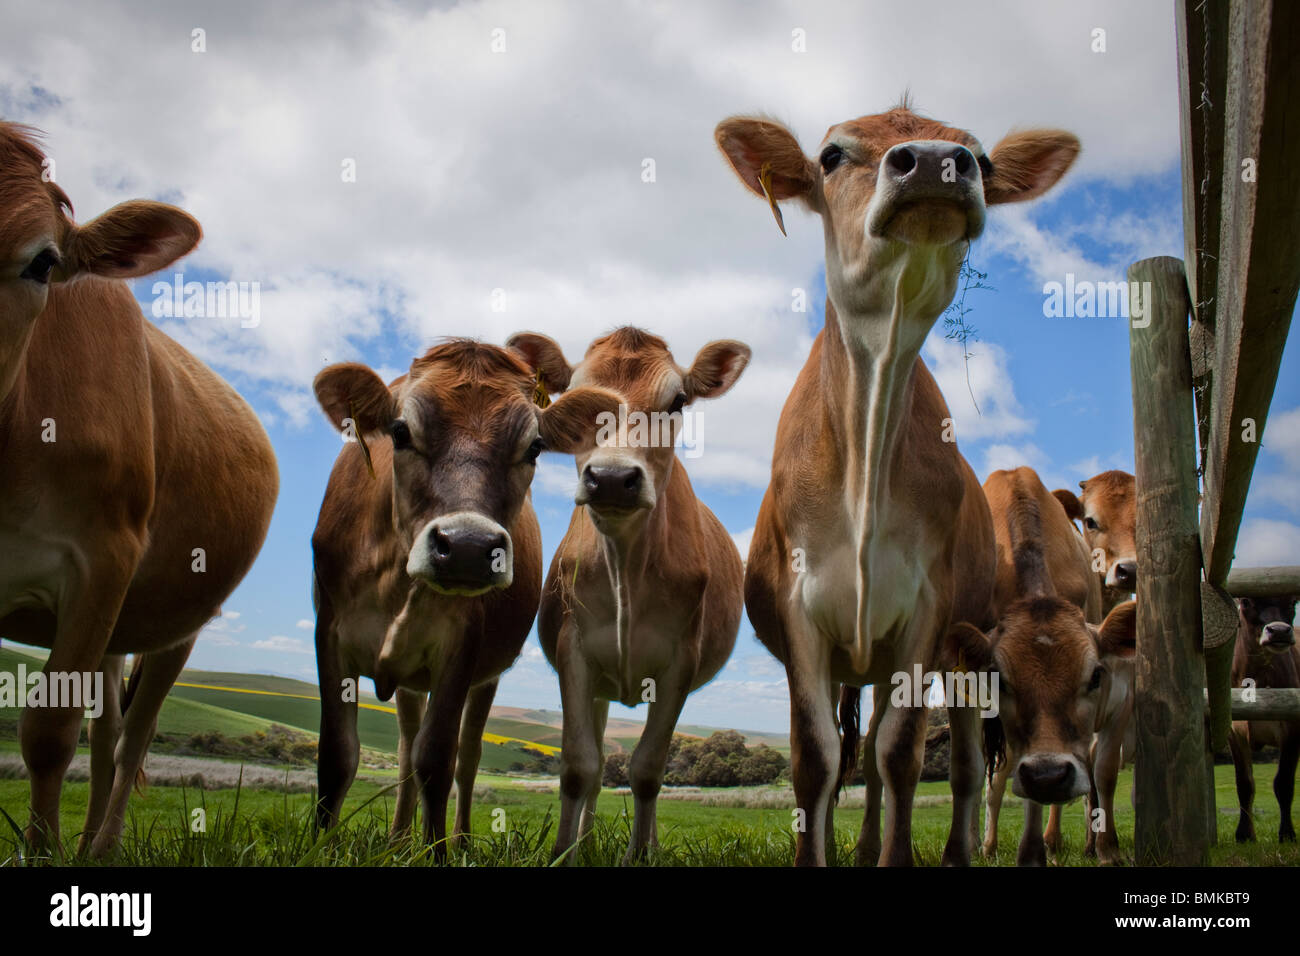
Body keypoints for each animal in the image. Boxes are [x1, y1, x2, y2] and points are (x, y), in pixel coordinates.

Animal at [0, 122, 278, 856]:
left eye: (42, 263)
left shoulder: (102, 560)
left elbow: (49, 732)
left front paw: (41, 853)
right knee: (108, 735)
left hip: (177, 620)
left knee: (131, 739)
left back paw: (100, 845)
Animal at [310, 340, 620, 855]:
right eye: (399, 431)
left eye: (534, 446)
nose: (469, 547)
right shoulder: (329, 633)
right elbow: (337, 753)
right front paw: (323, 846)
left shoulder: (462, 647)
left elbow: (437, 758)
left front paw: (436, 852)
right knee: (404, 746)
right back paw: (398, 839)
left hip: (485, 677)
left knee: (465, 755)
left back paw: (457, 841)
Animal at [507, 327, 749, 864]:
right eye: (575, 400)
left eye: (677, 402)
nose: (613, 478)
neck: (625, 566)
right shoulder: (574, 654)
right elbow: (580, 767)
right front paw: (564, 852)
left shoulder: (680, 664)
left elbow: (647, 770)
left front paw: (639, 855)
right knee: (597, 772)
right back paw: (587, 841)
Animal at [715, 103, 1079, 865]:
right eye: (830, 155)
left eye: (981, 159)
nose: (938, 162)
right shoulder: (798, 612)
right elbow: (815, 757)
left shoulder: (925, 611)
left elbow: (899, 754)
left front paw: (892, 854)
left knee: (924, 760)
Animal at [1228, 594, 1299, 843]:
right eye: (1247, 601)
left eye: (1292, 602)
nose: (1279, 631)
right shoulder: (1234, 731)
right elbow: (1244, 783)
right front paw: (1244, 834)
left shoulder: (1291, 727)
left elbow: (1284, 782)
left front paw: (1287, 833)